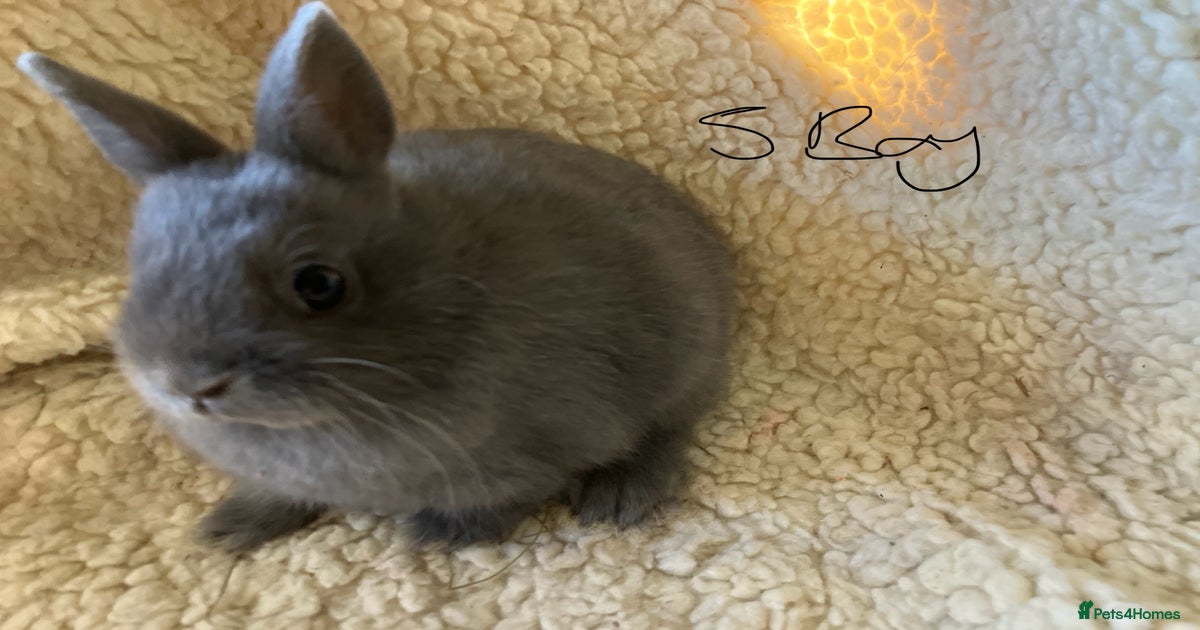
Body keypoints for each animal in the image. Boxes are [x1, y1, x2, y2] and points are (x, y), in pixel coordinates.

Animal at [16, 1, 735, 553]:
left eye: (319, 284)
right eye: (140, 264)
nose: (185, 384)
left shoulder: (536, 450)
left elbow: (506, 498)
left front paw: (438, 536)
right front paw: (228, 529)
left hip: (686, 357)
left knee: (672, 426)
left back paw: (619, 496)